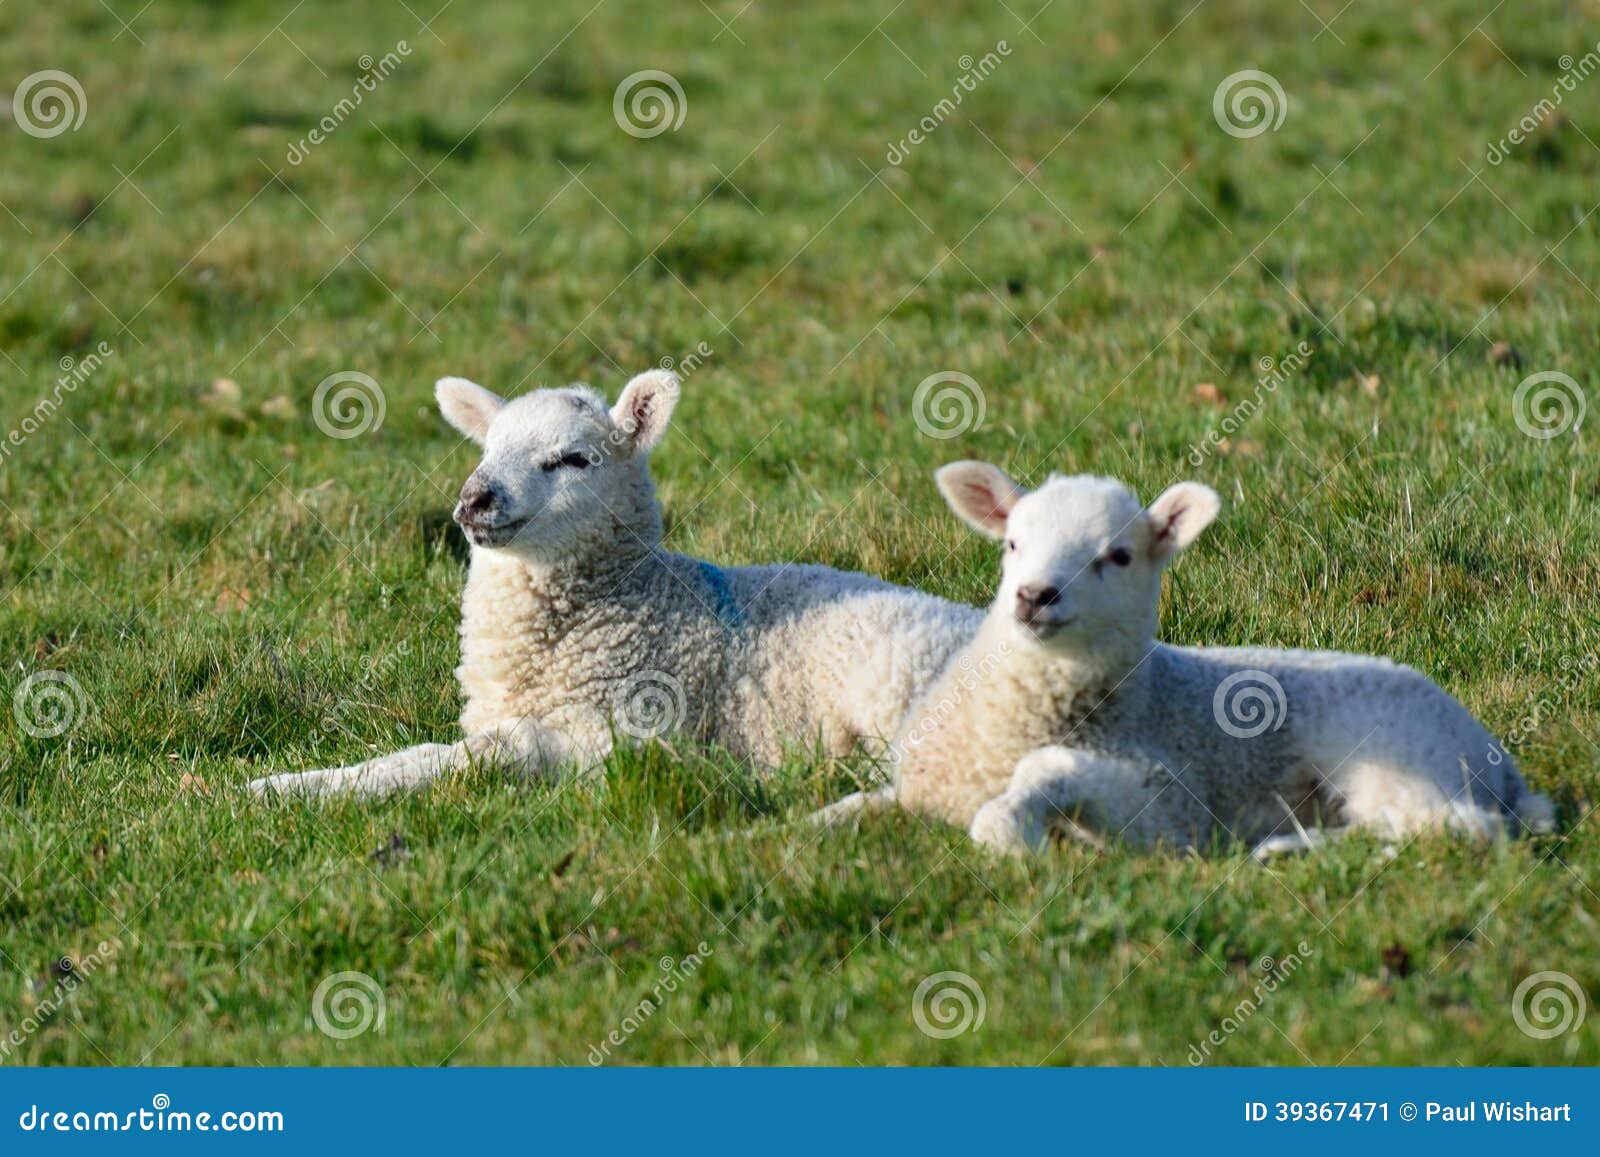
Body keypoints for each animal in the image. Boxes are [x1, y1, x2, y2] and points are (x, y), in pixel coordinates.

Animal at [249, 370, 980, 798]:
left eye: (577, 457)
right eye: (487, 446)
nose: (475, 499)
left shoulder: (622, 735)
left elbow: (468, 756)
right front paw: (287, 785)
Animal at [874, 461, 1554, 858]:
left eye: (1118, 557)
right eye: (1012, 542)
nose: (1035, 596)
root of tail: (1496, 756)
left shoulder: (1168, 804)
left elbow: (1043, 774)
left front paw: (1011, 829)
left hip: (1402, 758)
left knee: (1459, 828)